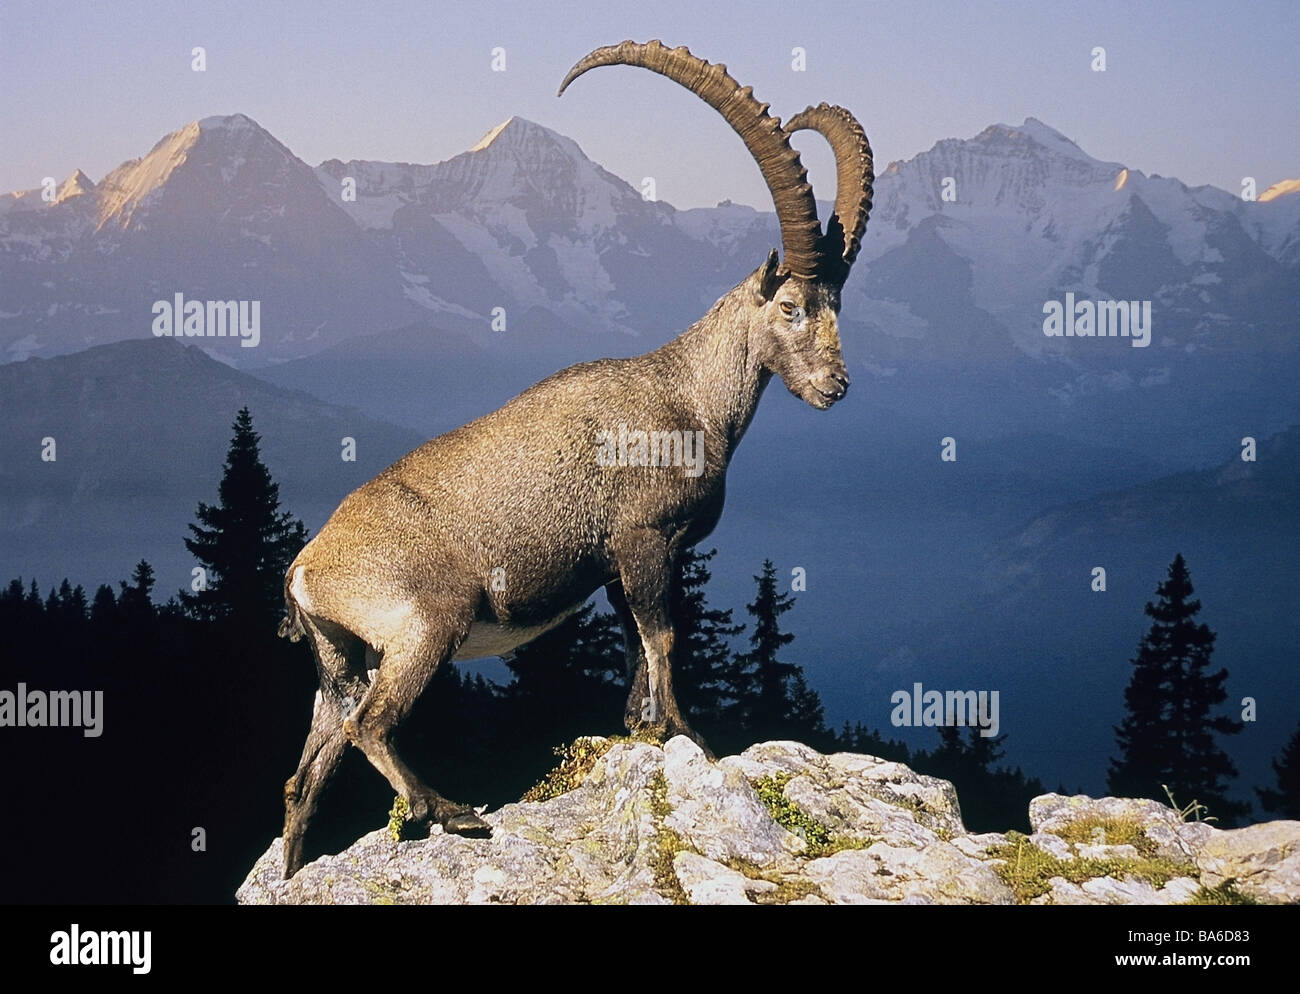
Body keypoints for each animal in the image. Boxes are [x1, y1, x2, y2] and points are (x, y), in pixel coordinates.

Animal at [278, 39, 874, 878]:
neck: (687, 397)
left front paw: (638, 726)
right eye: (790, 307)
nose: (835, 387)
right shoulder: (643, 540)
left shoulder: (617, 565)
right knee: (372, 724)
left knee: (306, 776)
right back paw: (448, 812)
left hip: (340, 660)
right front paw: (687, 734)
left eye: (838, 309)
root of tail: (306, 569)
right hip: (424, 627)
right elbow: (664, 637)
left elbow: (634, 643)